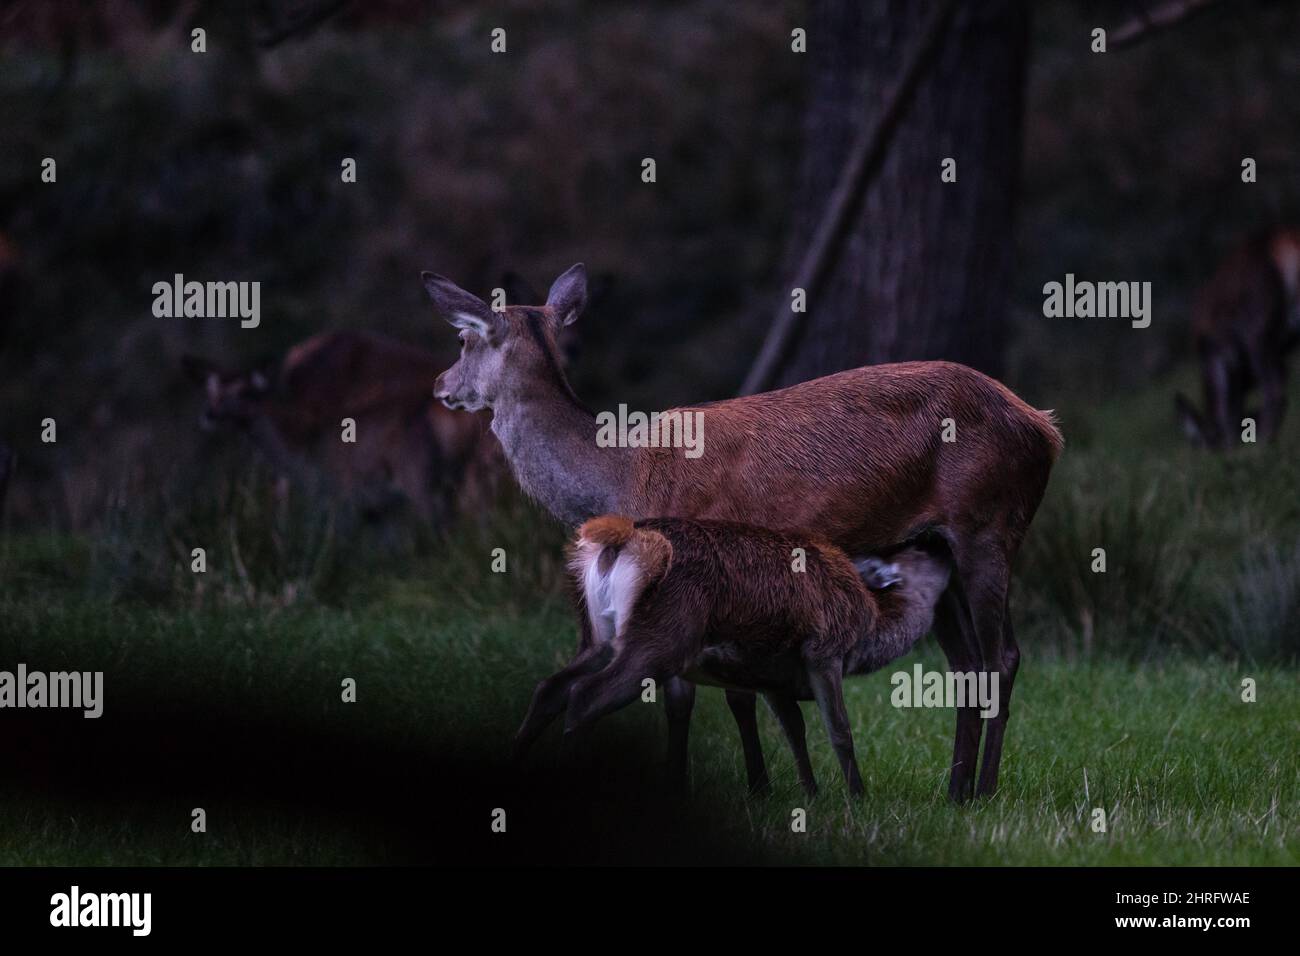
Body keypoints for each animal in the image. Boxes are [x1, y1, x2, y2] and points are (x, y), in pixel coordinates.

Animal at [183, 329, 501, 524]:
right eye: (209, 391)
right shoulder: (372, 508)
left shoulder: (340, 497)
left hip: (420, 474)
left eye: (244, 392)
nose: (209, 414)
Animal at [514, 515, 951, 795]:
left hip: (598, 635)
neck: (868, 629)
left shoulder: (770, 677)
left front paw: (810, 793)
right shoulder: (823, 650)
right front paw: (856, 797)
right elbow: (839, 730)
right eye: (916, 548)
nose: (940, 537)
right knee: (584, 696)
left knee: (550, 687)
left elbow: (794, 730)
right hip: (660, 638)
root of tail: (621, 543)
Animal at [1175, 226, 1300, 448]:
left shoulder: (1221, 352)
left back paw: (1263, 444)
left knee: (1274, 387)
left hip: (1257, 331)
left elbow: (1230, 409)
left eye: (1199, 445)